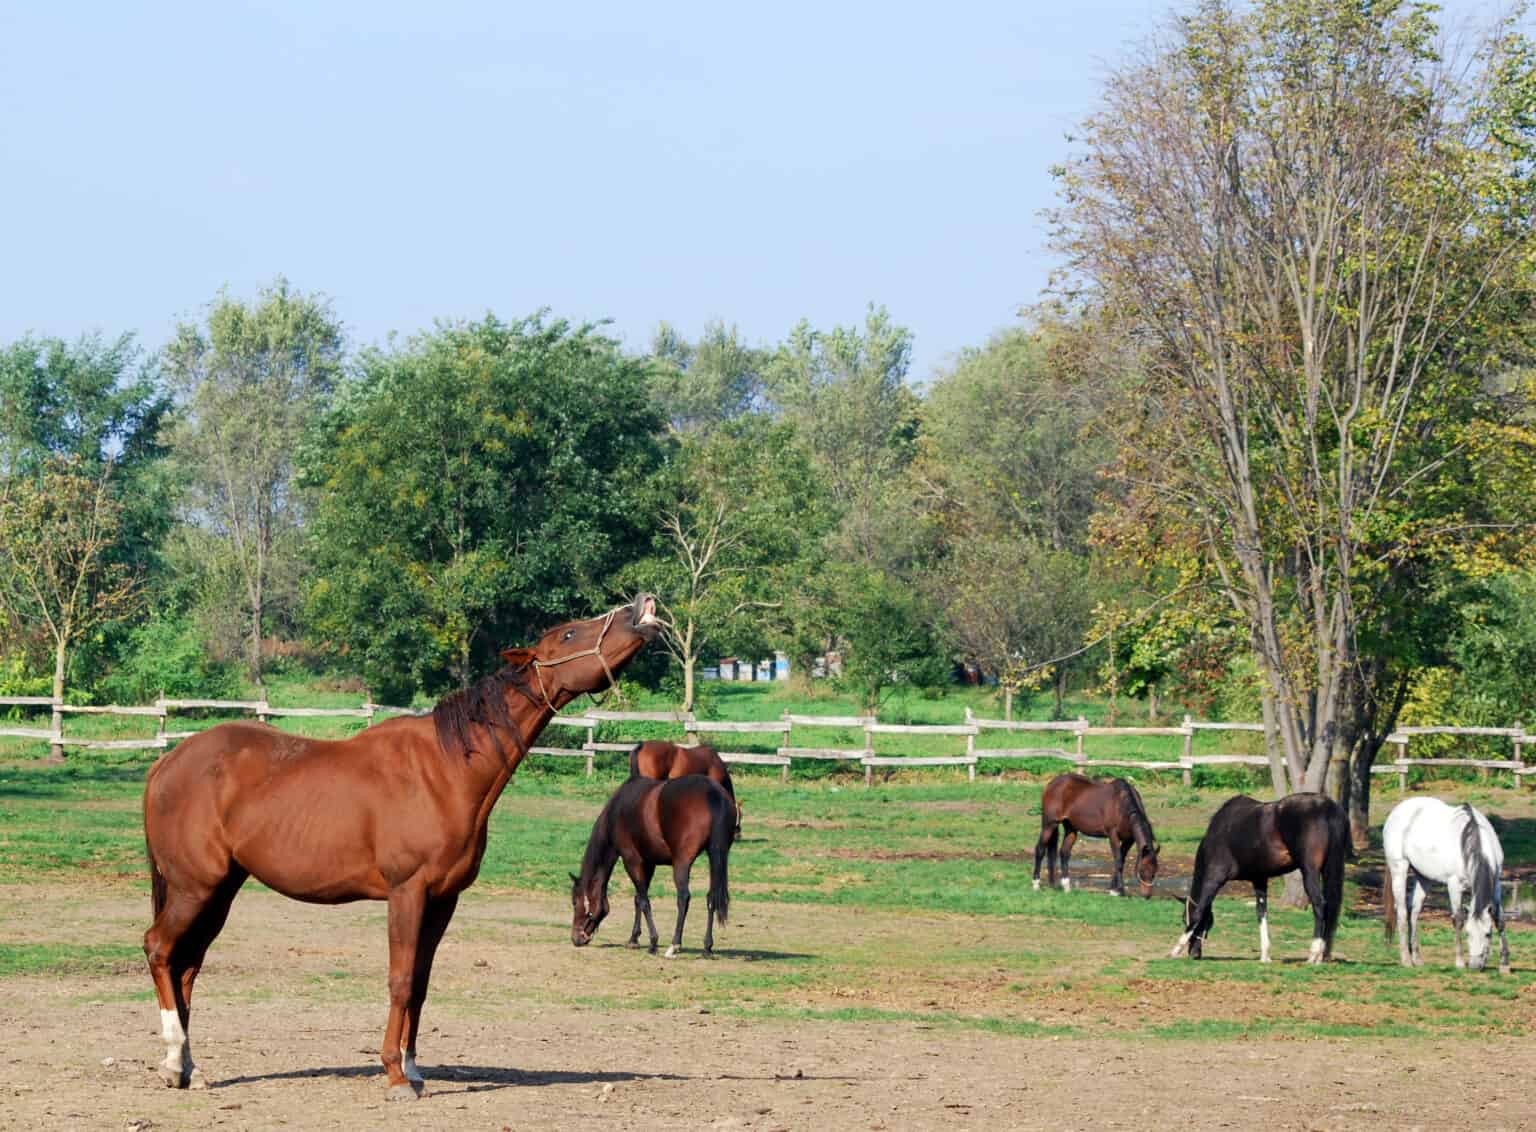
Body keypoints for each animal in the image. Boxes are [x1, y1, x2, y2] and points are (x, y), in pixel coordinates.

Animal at [141, 595, 661, 1100]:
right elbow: (401, 978)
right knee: (159, 950)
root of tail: (168, 762)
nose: (641, 608)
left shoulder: (442, 901)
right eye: (569, 633)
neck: (446, 769)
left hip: (220, 891)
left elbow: (421, 984)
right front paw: (394, 1074)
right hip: (194, 888)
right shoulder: (407, 892)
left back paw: (190, 1070)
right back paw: (173, 1060)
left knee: (187, 967)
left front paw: (413, 1069)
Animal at [570, 774, 733, 958]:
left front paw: (653, 942)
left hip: (682, 863)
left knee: (683, 897)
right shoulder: (648, 863)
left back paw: (674, 945)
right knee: (711, 897)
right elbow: (638, 898)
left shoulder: (632, 861)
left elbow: (644, 901)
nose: (576, 939)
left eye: (574, 902)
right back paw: (707, 947)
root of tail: (713, 792)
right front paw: (633, 939)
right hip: (715, 858)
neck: (616, 813)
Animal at [1032, 773, 1160, 896]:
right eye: (1142, 870)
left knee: (1064, 853)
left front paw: (1114, 889)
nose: (1147, 895)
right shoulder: (1113, 836)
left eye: (1155, 872)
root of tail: (1051, 784)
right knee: (1040, 849)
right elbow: (1118, 861)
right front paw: (1119, 890)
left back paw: (1066, 887)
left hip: (1071, 828)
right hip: (1049, 824)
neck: (1122, 806)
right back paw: (1036, 884)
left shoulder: (1129, 840)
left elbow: (1122, 860)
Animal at [1170, 792, 1348, 964]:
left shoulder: (1214, 878)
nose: (1195, 954)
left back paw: (1313, 954)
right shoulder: (1259, 879)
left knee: (1319, 905)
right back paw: (1322, 954)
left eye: (1183, 919)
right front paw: (1265, 956)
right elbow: (1261, 913)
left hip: (1309, 871)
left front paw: (1175, 950)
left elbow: (1198, 911)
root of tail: (1325, 806)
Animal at [1383, 797, 1510, 973]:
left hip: (1424, 878)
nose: (1474, 966)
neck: (1471, 843)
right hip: (1399, 869)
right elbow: (1458, 919)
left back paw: (1417, 958)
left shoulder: (1496, 883)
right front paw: (1459, 962)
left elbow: (1499, 919)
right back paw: (1406, 960)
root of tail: (1398, 810)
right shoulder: (1454, 885)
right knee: (1401, 912)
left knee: (1414, 912)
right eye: (1468, 934)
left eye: (1488, 934)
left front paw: (1504, 965)